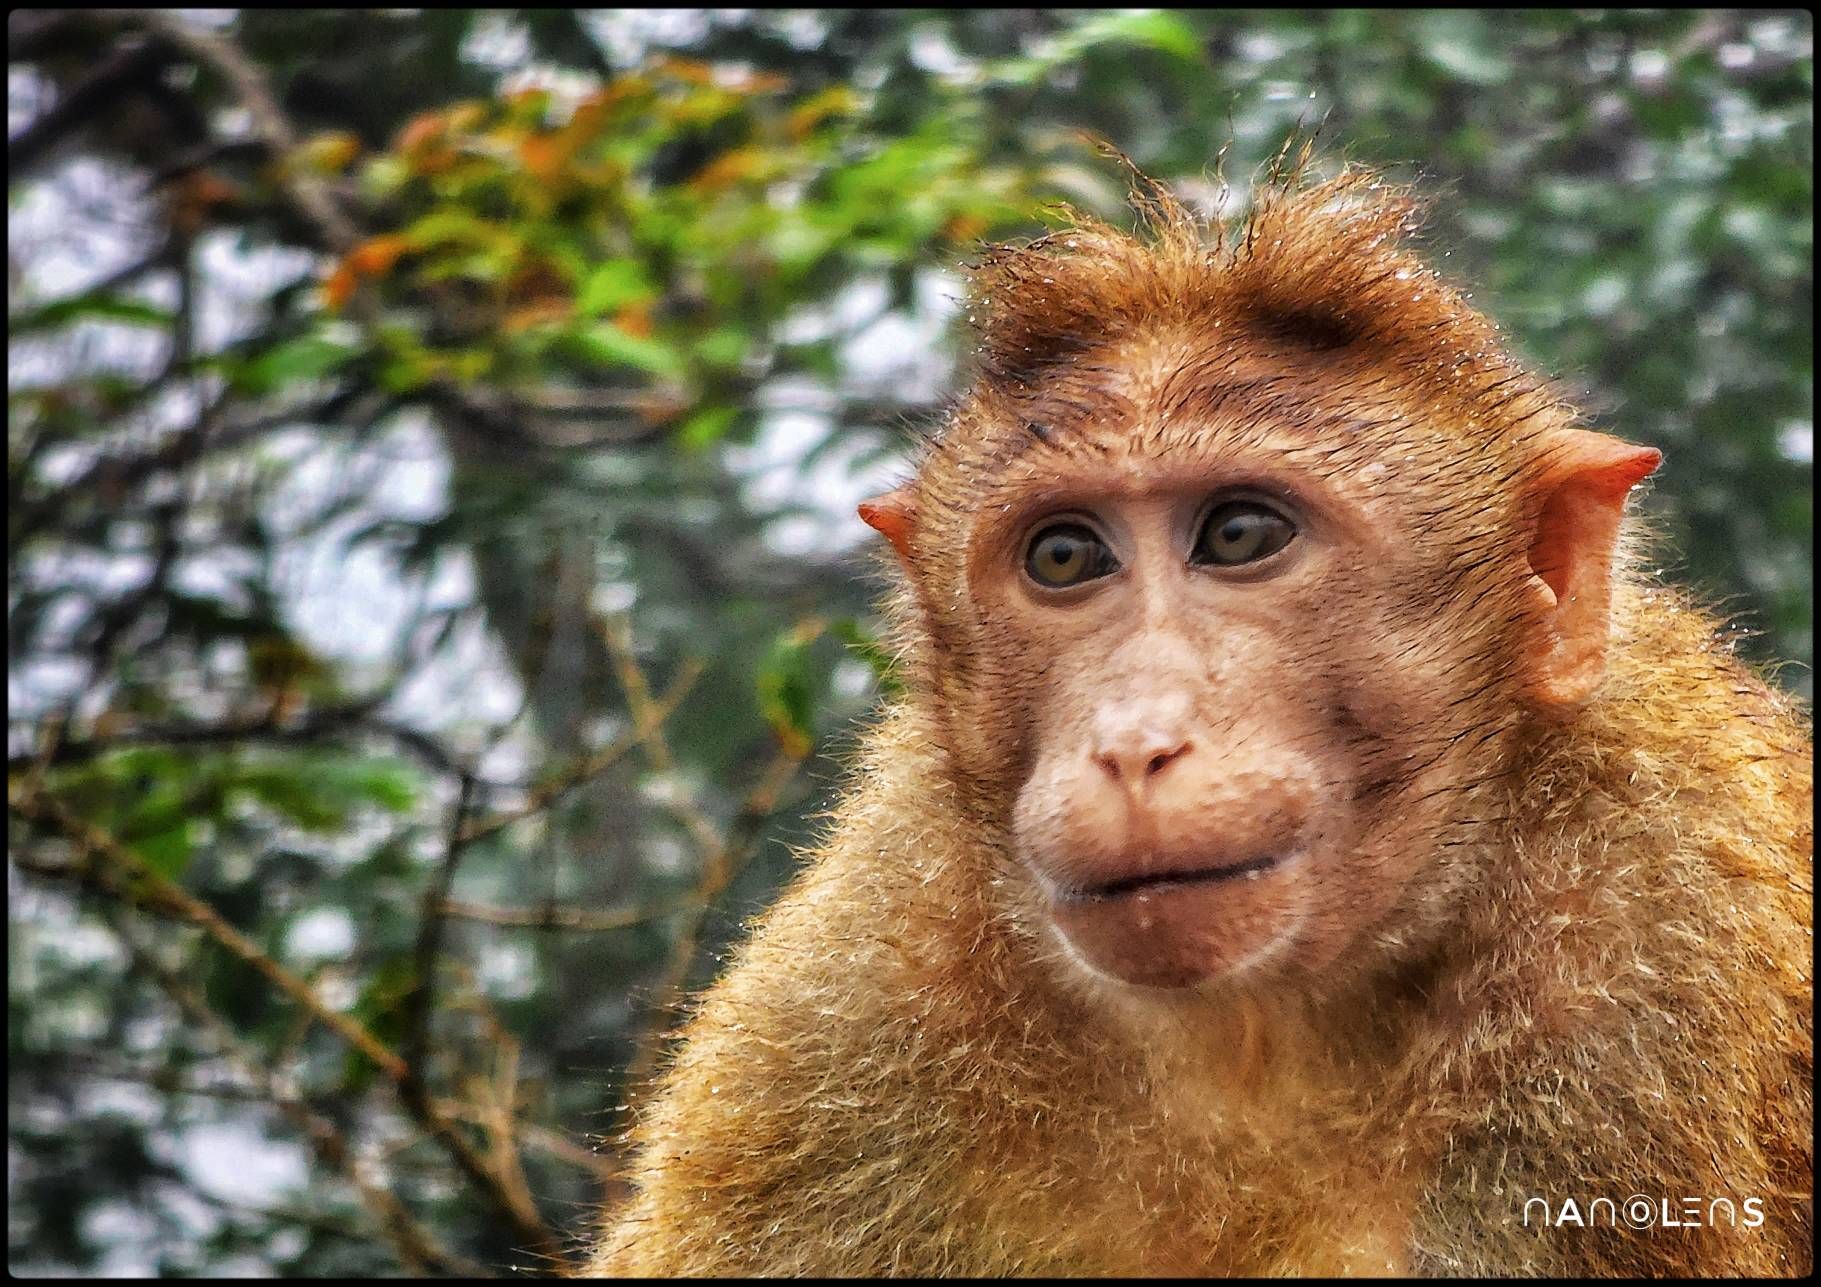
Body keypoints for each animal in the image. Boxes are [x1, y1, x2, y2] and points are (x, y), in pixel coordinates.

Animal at [586, 156, 1812, 1276]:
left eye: (1238, 536)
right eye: (1065, 556)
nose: (1132, 744)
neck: (1256, 1047)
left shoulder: (1640, 956)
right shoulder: (848, 999)